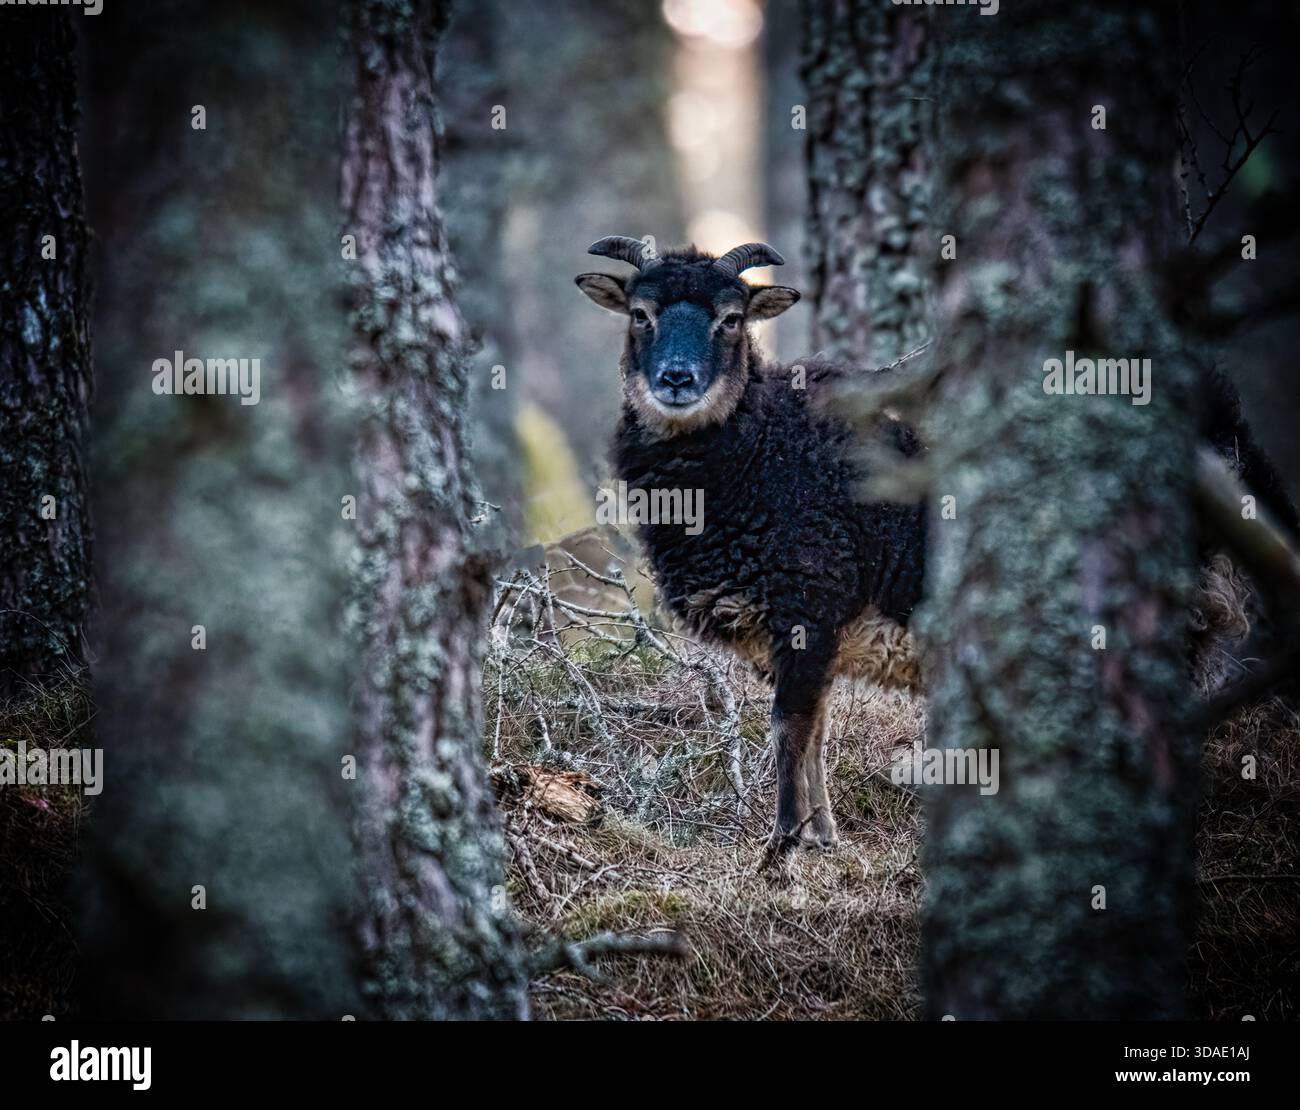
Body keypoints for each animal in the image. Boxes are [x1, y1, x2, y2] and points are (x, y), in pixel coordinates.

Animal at [575, 236, 926, 863]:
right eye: (640, 314)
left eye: (731, 319)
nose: (677, 379)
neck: (763, 450)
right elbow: (815, 732)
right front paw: (822, 837)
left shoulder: (807, 607)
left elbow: (790, 728)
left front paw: (782, 843)